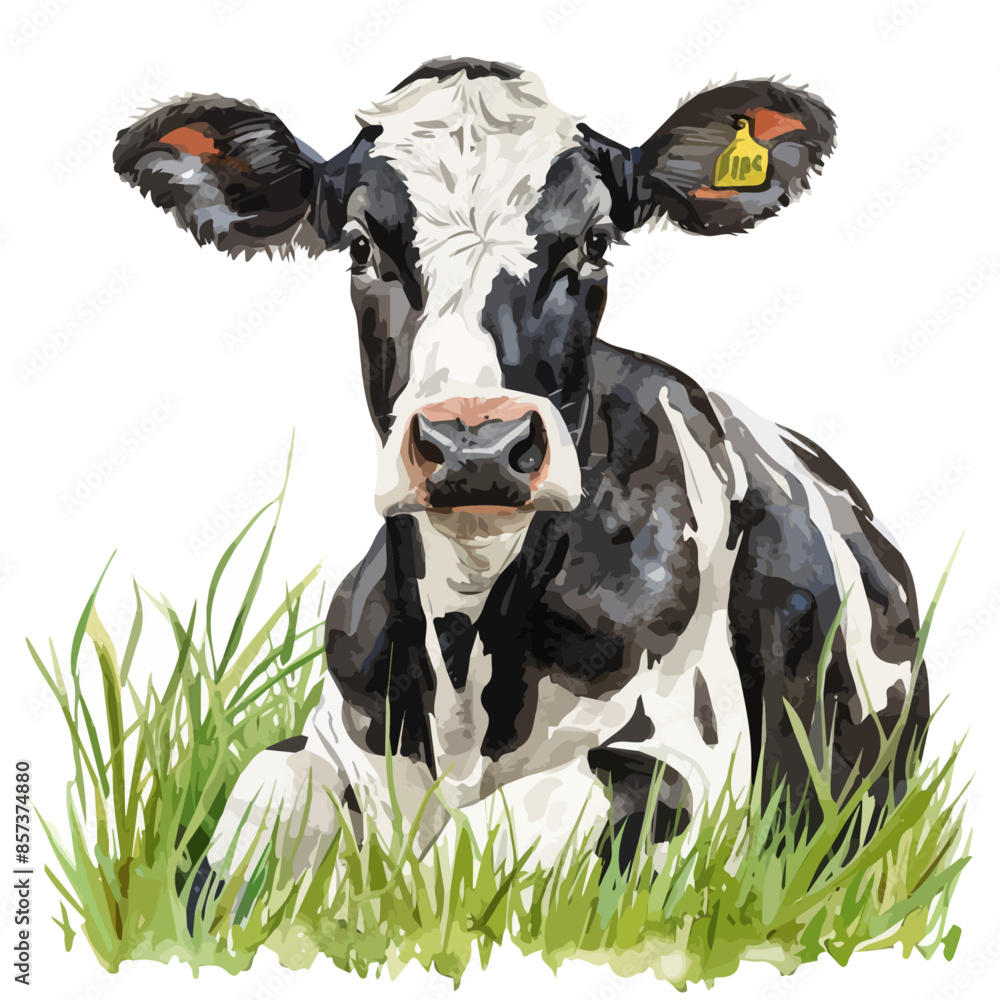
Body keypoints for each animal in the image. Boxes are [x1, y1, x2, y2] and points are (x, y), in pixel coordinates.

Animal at [112, 57, 929, 927]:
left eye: (594, 243)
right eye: (361, 246)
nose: (475, 443)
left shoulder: (692, 767)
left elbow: (460, 864)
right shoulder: (336, 737)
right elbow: (254, 817)